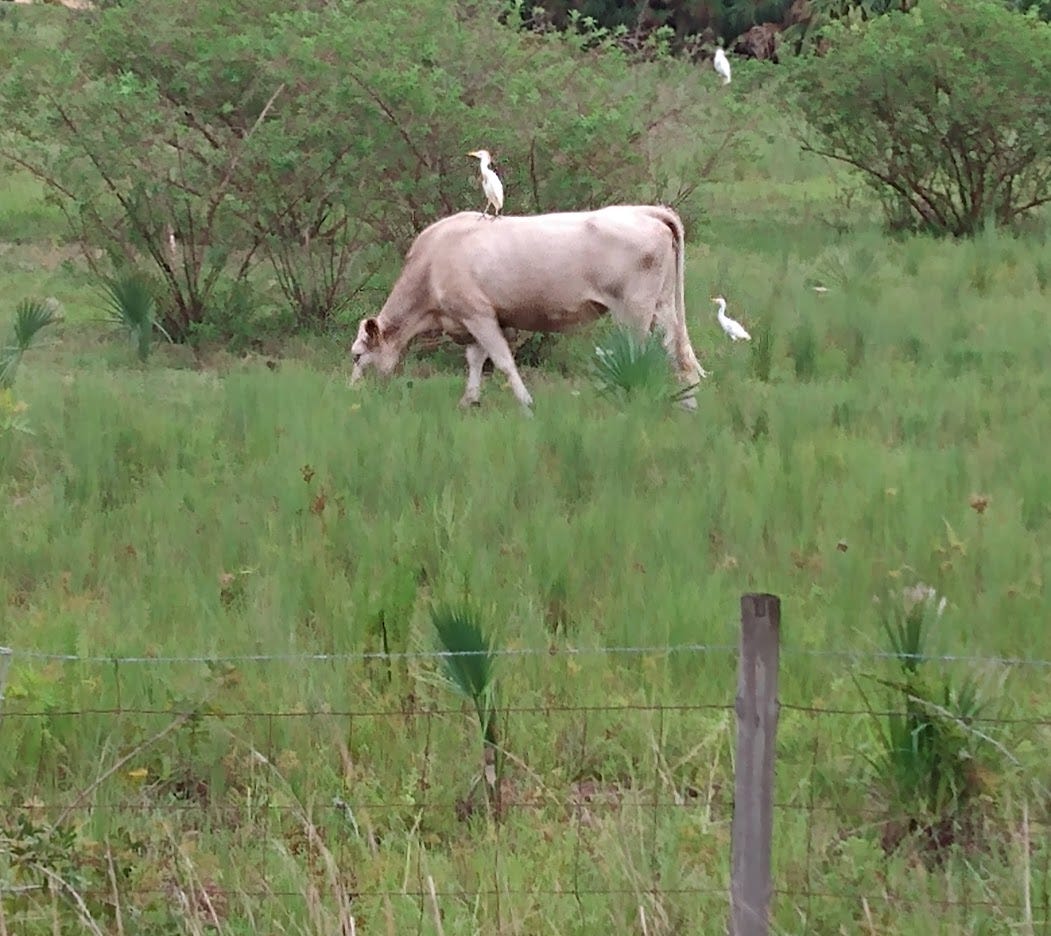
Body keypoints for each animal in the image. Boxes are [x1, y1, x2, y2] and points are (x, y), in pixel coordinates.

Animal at [350, 204, 707, 409]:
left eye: (357, 356)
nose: (351, 392)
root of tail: (646, 211)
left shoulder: (477, 314)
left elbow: (503, 361)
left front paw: (526, 404)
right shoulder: (474, 319)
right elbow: (476, 360)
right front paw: (469, 401)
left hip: (634, 309)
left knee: (639, 356)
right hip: (663, 306)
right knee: (679, 354)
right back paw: (688, 408)